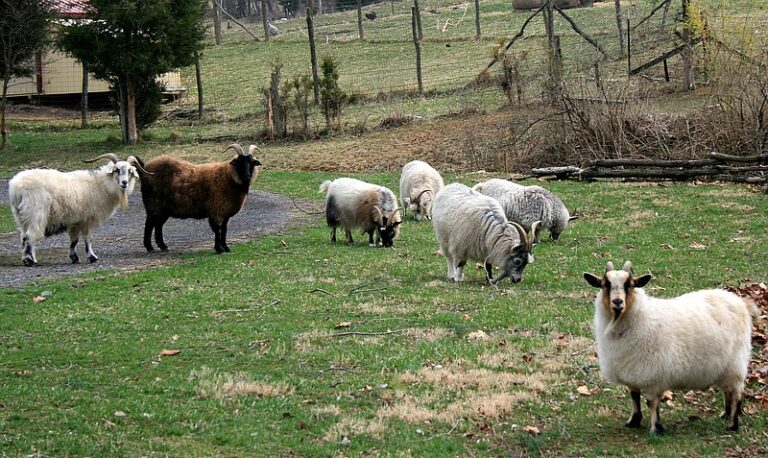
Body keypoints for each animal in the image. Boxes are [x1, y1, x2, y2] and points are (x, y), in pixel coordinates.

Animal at [8, 153, 146, 266]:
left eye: (130, 171)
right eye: (116, 170)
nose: (124, 183)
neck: (101, 185)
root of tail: (16, 188)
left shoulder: (75, 221)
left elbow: (74, 240)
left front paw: (74, 257)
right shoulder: (87, 219)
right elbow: (87, 238)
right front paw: (92, 257)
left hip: (22, 217)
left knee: (24, 237)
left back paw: (31, 258)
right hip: (36, 214)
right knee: (29, 237)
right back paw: (28, 260)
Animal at [584, 261, 758, 434]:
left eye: (630, 285)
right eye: (605, 284)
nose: (617, 302)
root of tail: (739, 301)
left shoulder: (653, 375)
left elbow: (651, 403)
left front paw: (656, 428)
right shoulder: (632, 372)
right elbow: (634, 396)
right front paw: (633, 421)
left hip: (736, 363)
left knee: (736, 393)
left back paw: (733, 424)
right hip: (724, 367)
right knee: (728, 391)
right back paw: (725, 414)